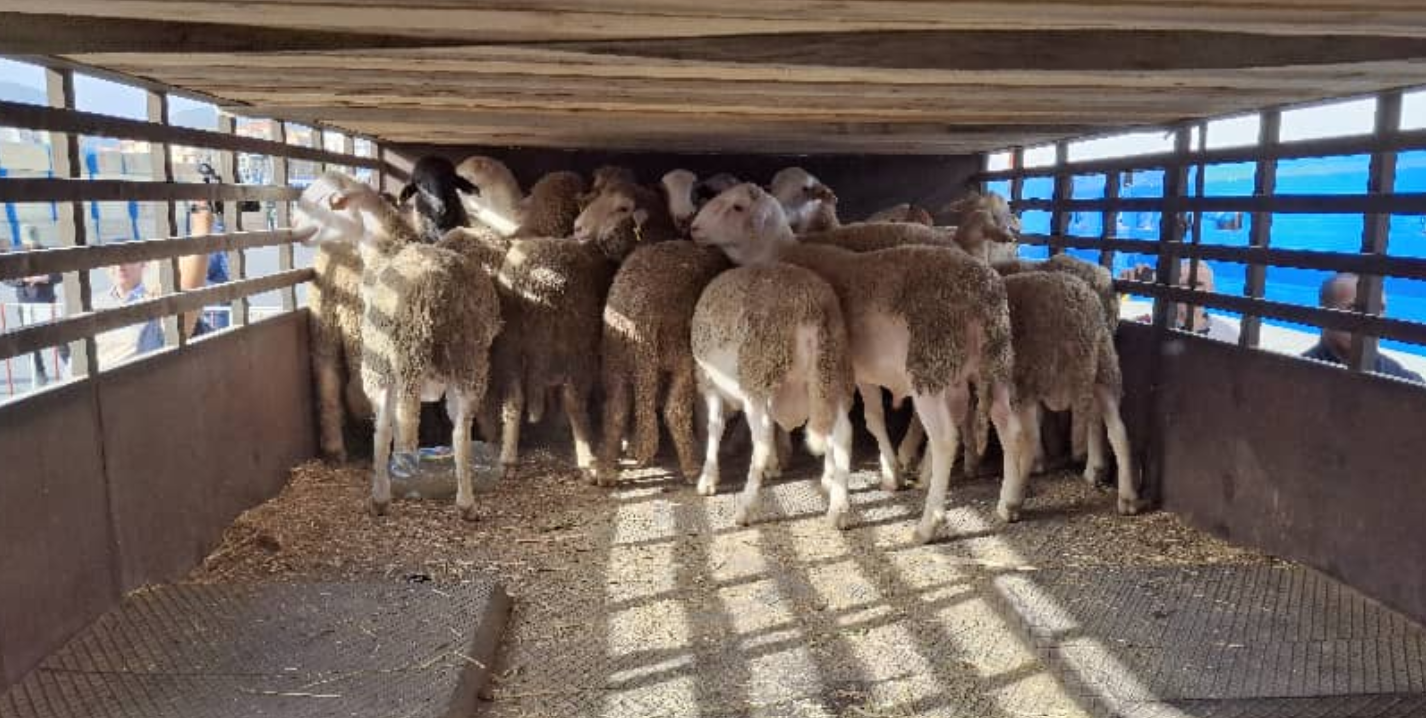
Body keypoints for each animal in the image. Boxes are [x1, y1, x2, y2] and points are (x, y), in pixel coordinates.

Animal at [295, 171, 501, 520]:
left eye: (321, 200)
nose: (294, 227)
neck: (385, 247)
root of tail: (435, 294)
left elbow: (383, 428)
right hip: (468, 360)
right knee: (461, 429)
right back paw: (466, 503)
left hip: (395, 360)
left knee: (393, 427)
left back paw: (383, 493)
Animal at [691, 263, 856, 528]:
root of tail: (811, 305)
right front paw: (774, 466)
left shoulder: (709, 382)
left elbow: (715, 427)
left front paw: (708, 477)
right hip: (832, 374)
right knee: (842, 432)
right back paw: (838, 509)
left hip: (758, 373)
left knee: (762, 440)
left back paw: (746, 507)